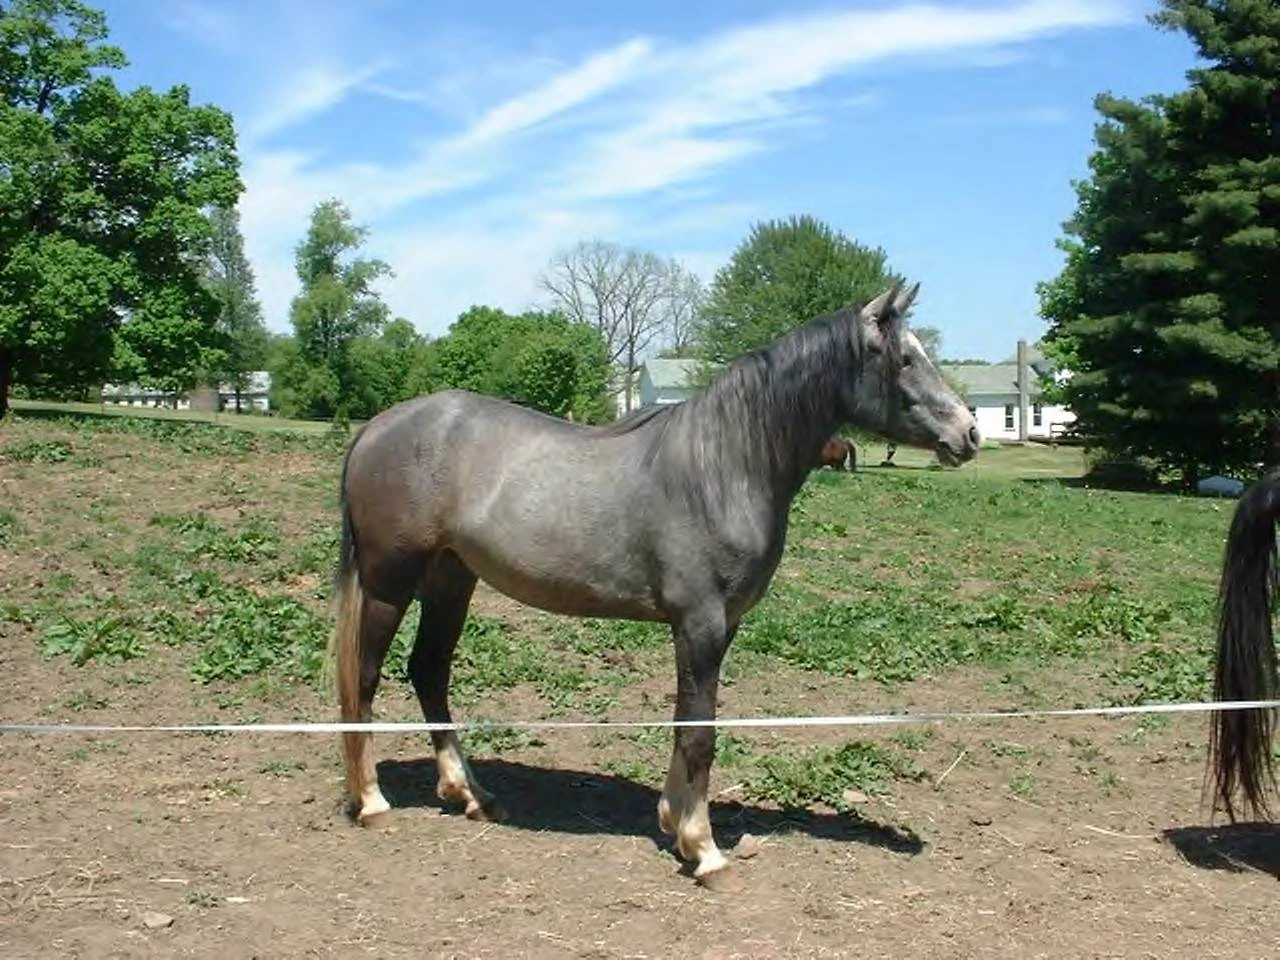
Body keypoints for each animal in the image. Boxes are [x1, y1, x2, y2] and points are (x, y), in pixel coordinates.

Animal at [329, 280, 981, 891]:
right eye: (904, 359)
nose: (969, 432)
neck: (723, 466)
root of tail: (377, 428)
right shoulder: (701, 622)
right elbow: (700, 735)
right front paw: (705, 849)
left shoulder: (716, 627)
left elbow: (684, 720)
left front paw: (674, 820)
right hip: (390, 583)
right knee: (366, 678)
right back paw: (373, 801)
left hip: (451, 579)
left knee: (429, 672)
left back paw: (471, 794)